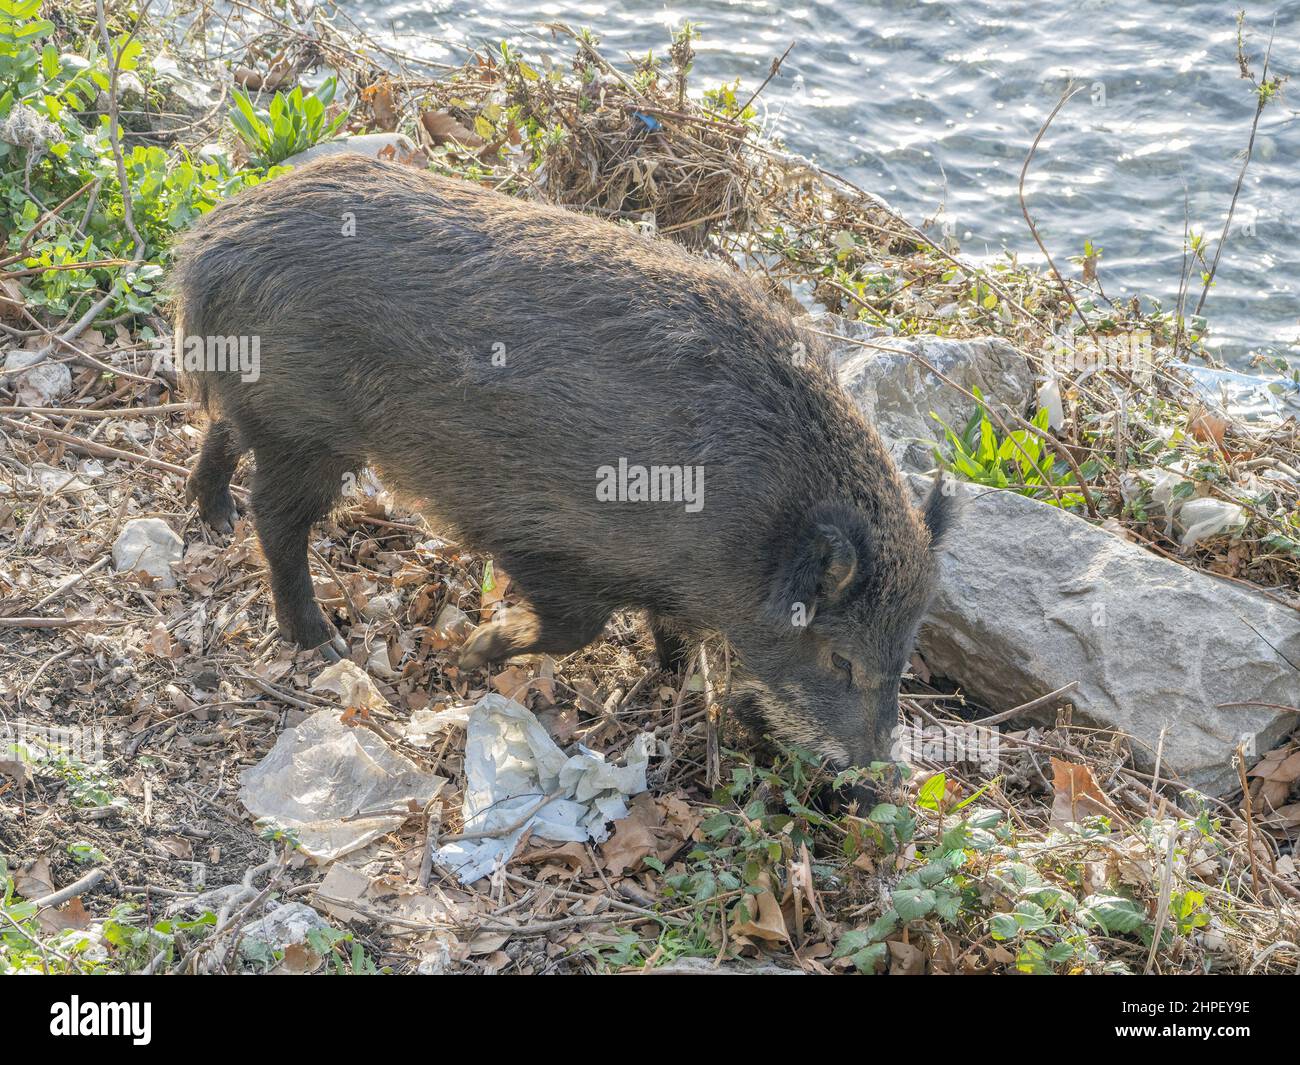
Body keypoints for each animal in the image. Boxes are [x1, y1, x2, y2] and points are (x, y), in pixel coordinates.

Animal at [170, 154, 950, 772]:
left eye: (904, 661)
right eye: (840, 658)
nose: (876, 777)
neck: (755, 526)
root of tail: (208, 244)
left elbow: (667, 632)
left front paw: (674, 679)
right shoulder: (543, 538)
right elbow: (579, 627)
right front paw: (473, 651)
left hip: (267, 411)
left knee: (220, 433)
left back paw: (215, 516)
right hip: (305, 430)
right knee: (277, 518)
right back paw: (322, 640)